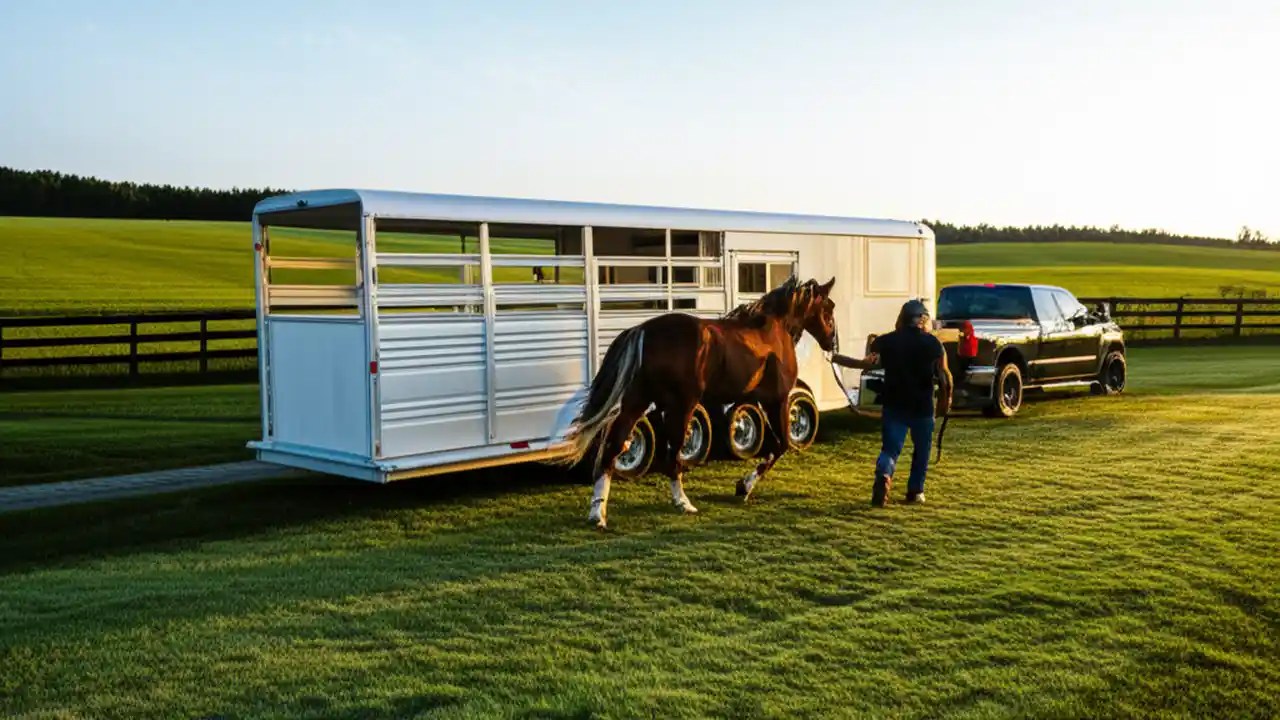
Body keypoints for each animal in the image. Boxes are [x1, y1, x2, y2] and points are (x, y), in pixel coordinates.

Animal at [553, 276, 838, 529]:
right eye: (829, 308)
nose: (831, 341)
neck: (772, 331)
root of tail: (642, 330)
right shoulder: (776, 401)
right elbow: (780, 447)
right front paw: (744, 487)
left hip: (638, 401)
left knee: (615, 445)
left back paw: (598, 513)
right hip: (682, 405)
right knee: (672, 455)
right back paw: (683, 502)